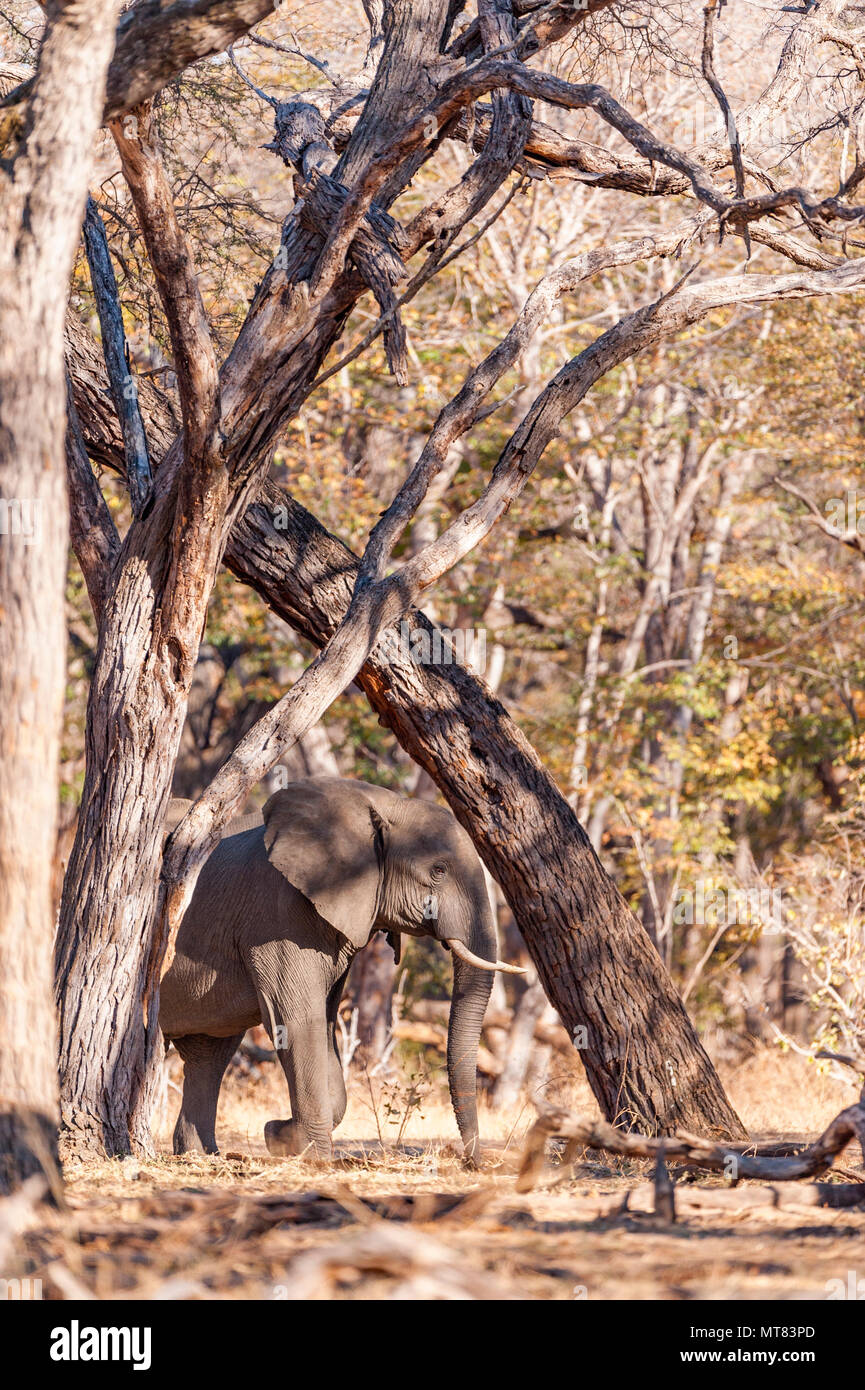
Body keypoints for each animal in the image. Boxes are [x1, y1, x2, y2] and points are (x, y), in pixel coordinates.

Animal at [159, 777, 523, 1164]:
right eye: (438, 871)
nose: (474, 1163)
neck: (382, 805)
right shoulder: (276, 916)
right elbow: (298, 1022)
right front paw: (311, 1155)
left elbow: (325, 1023)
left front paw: (280, 1135)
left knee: (210, 1053)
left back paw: (200, 1155)